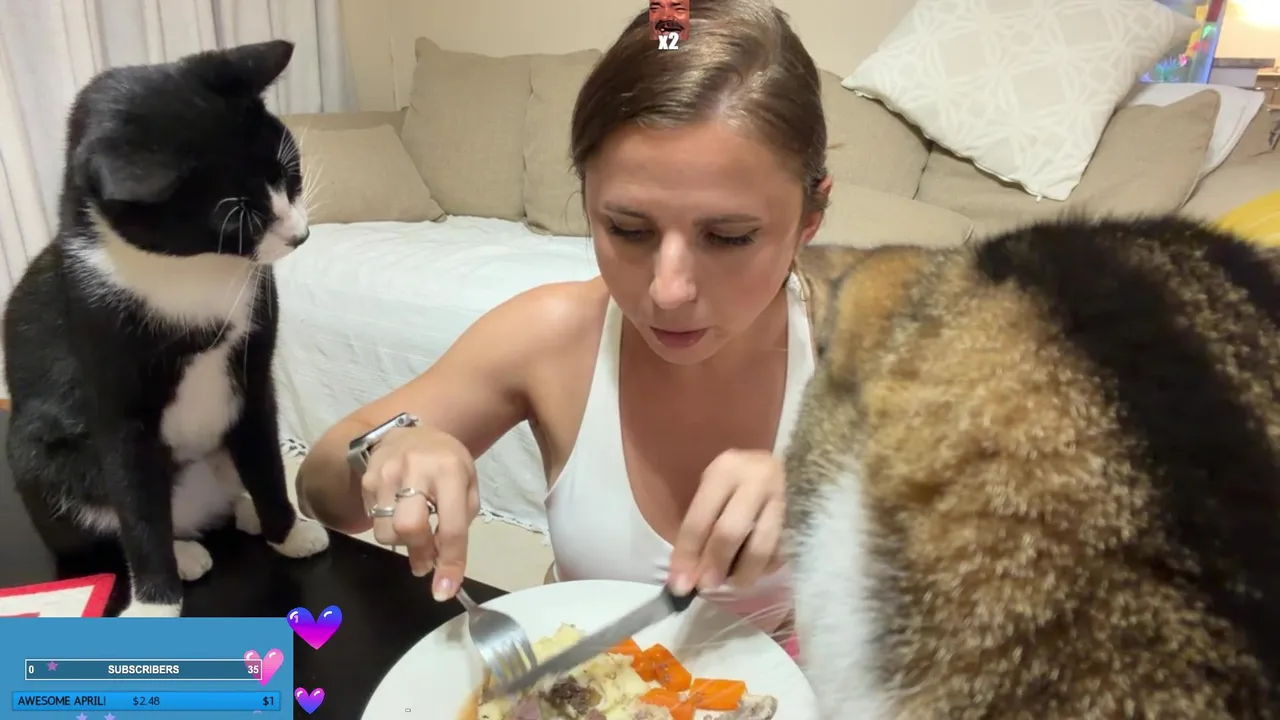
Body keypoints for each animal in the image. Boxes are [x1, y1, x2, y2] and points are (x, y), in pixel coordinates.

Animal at [3, 40, 329, 618]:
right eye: (236, 218)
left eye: (289, 173)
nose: (300, 235)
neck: (191, 274)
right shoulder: (114, 399)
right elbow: (136, 506)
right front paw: (154, 603)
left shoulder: (253, 372)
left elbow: (265, 459)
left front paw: (287, 531)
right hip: (35, 456)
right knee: (117, 519)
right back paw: (183, 553)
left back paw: (245, 512)